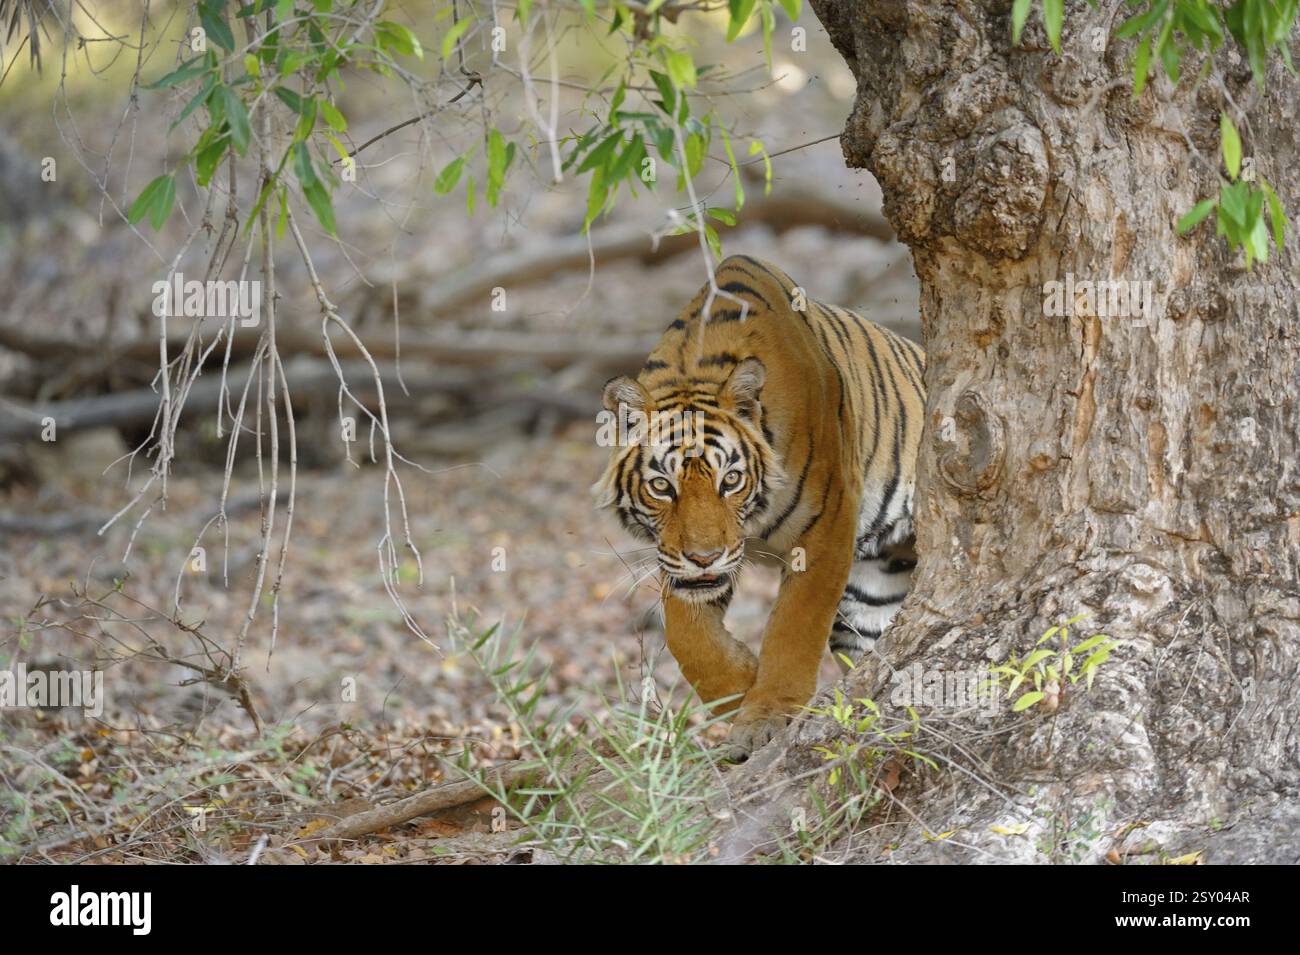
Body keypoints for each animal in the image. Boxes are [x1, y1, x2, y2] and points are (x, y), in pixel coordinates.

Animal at [593, 255, 926, 759]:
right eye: (662, 486)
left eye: (730, 480)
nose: (704, 558)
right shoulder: (678, 558)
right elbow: (686, 635)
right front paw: (739, 688)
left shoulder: (827, 522)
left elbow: (795, 625)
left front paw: (767, 716)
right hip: (874, 591)